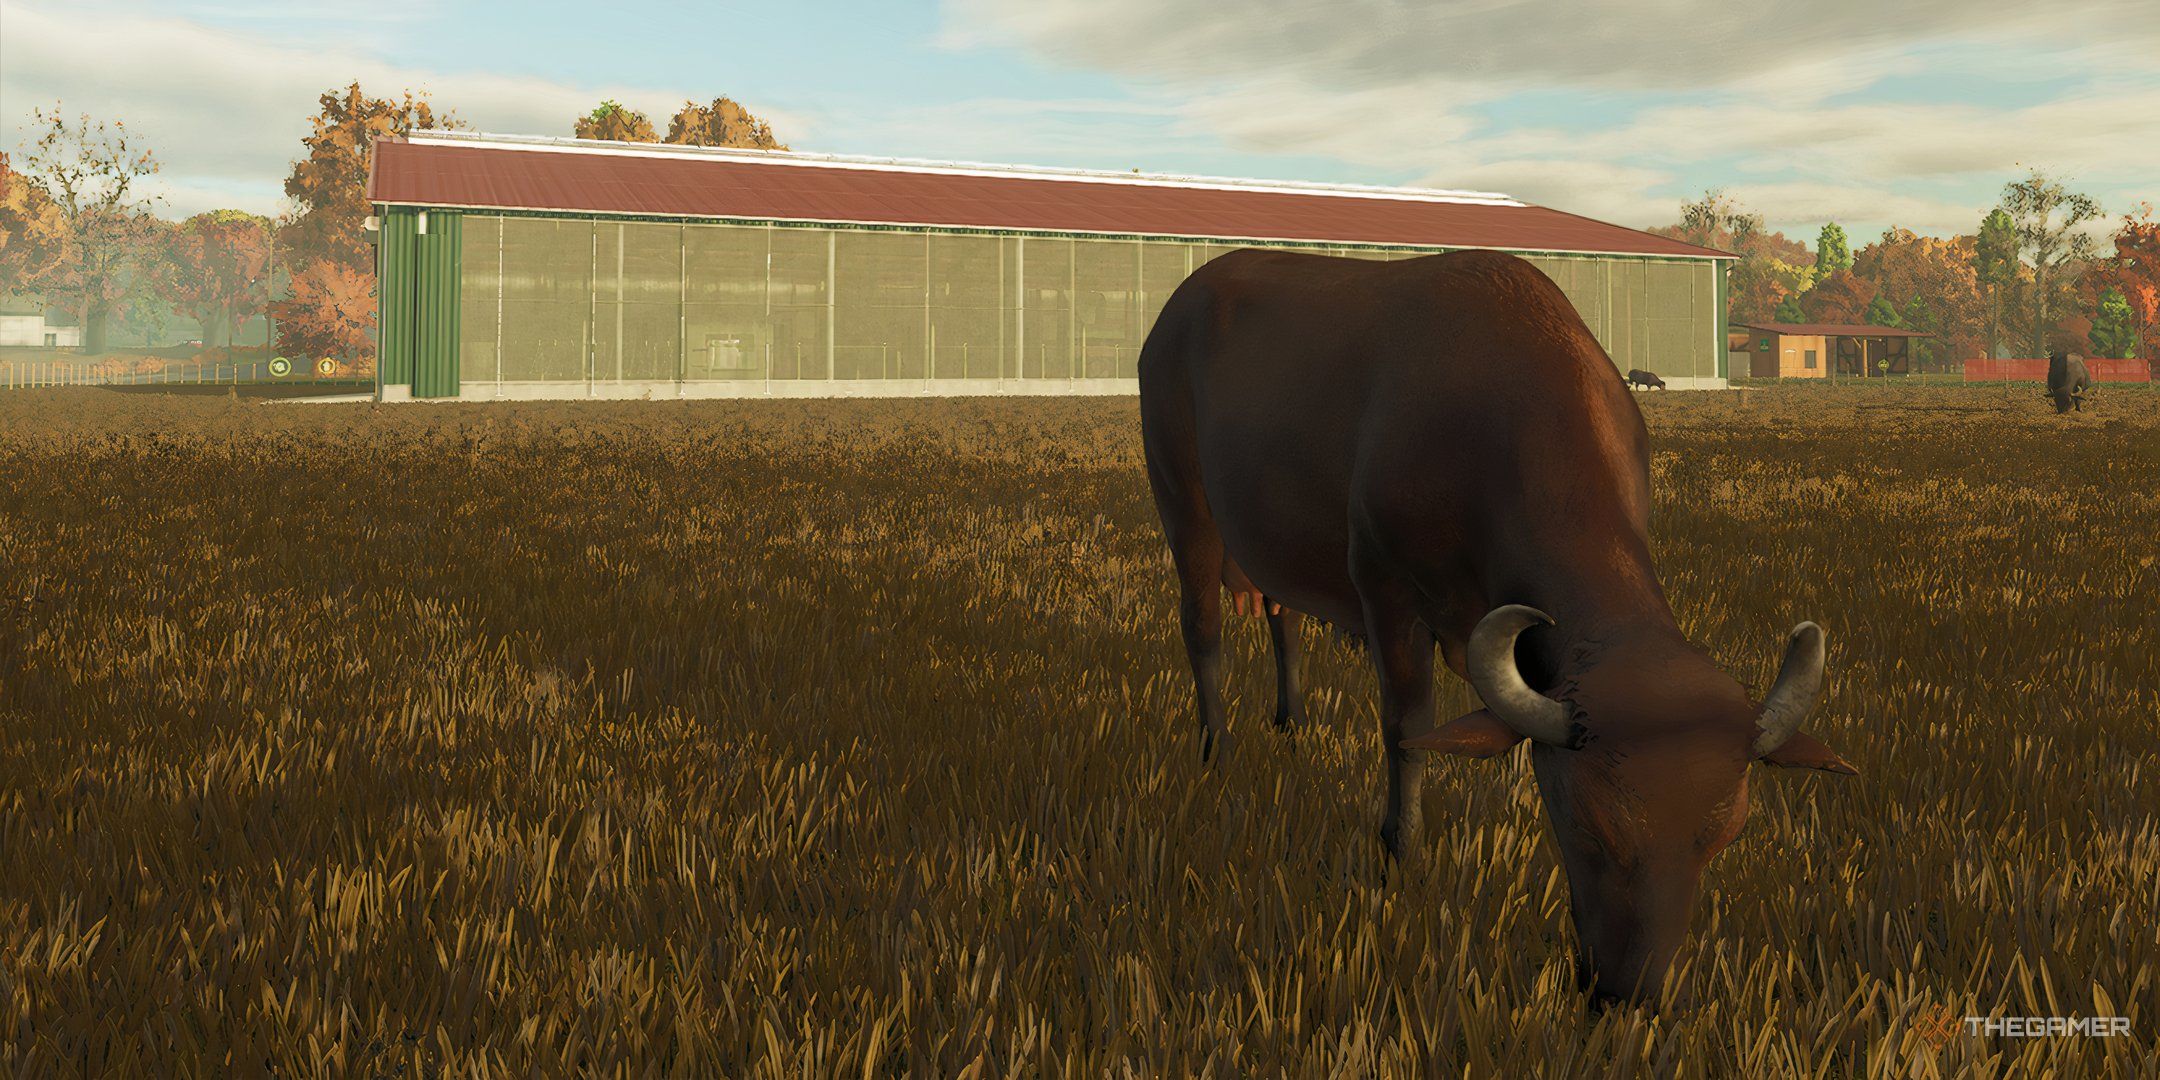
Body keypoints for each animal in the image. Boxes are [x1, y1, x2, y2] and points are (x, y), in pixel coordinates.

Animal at [1138, 249, 1856, 1006]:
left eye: (1722, 836)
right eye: (1584, 827)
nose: (1627, 994)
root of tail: (1181, 304)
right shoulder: (1387, 593)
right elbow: (1407, 727)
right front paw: (1402, 852)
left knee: (1283, 617)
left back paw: (1292, 723)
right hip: (1183, 505)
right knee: (1202, 630)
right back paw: (1218, 751)